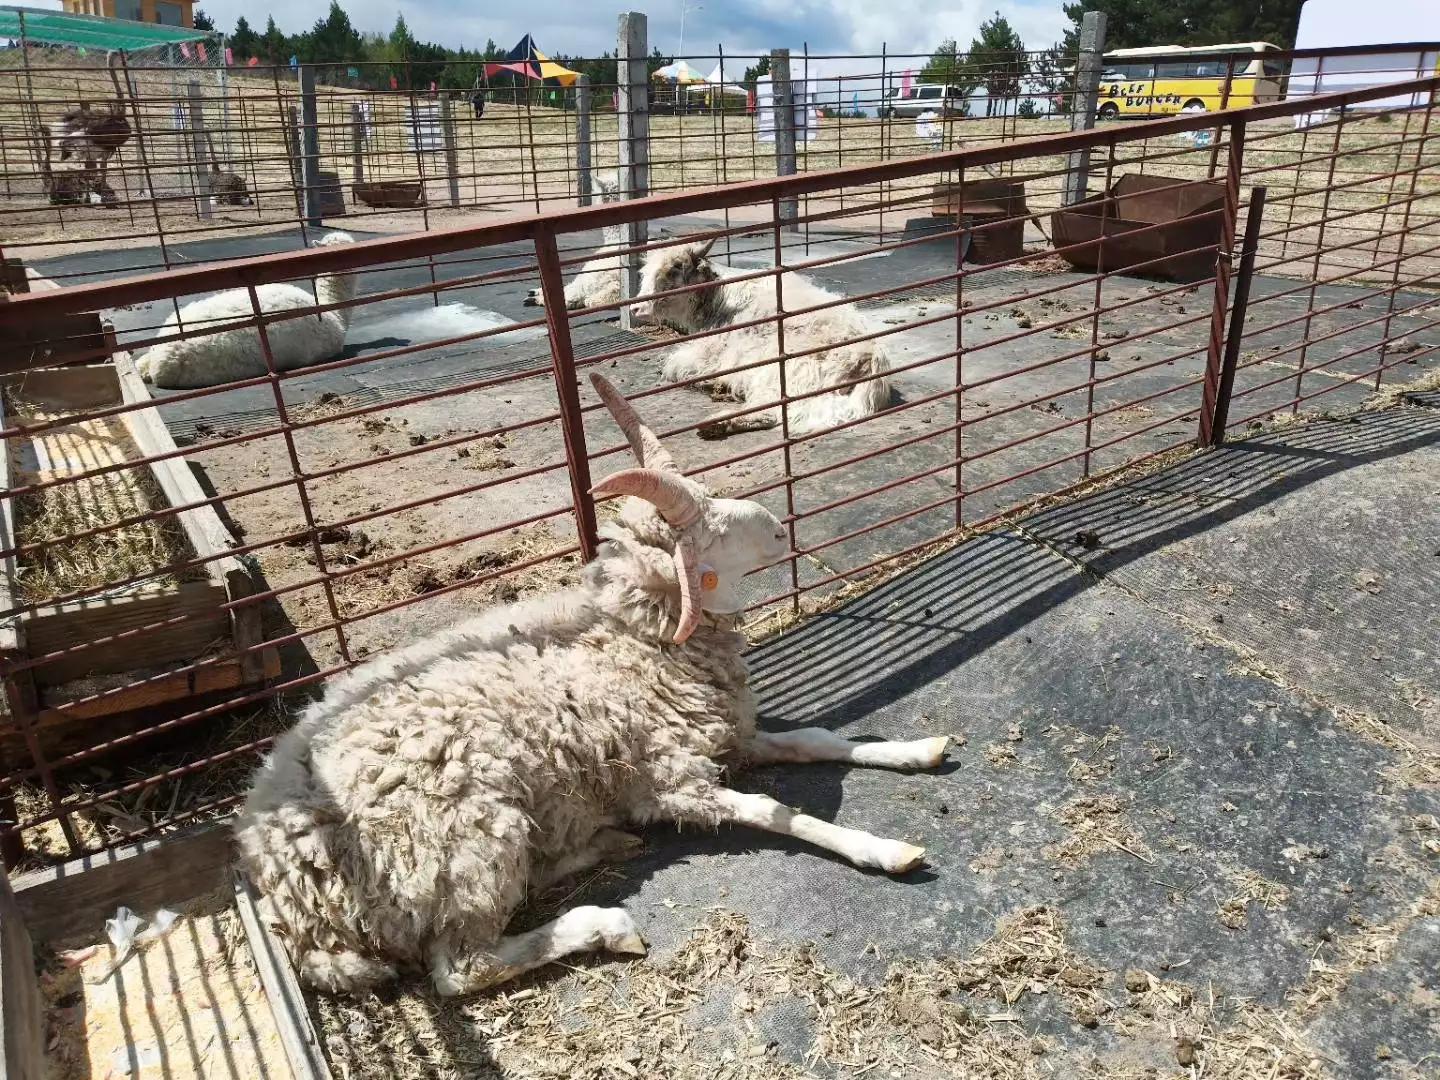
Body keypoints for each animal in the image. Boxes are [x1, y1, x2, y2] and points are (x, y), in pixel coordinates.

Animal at [235, 373, 946, 997]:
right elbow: (777, 813)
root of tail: (276, 875)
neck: (635, 639)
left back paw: (598, 843)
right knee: (458, 968)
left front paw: (911, 751)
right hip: (461, 838)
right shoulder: (667, 780)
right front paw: (880, 848)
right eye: (708, 533)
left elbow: (815, 738)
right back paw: (601, 923)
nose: (777, 526)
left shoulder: (728, 732)